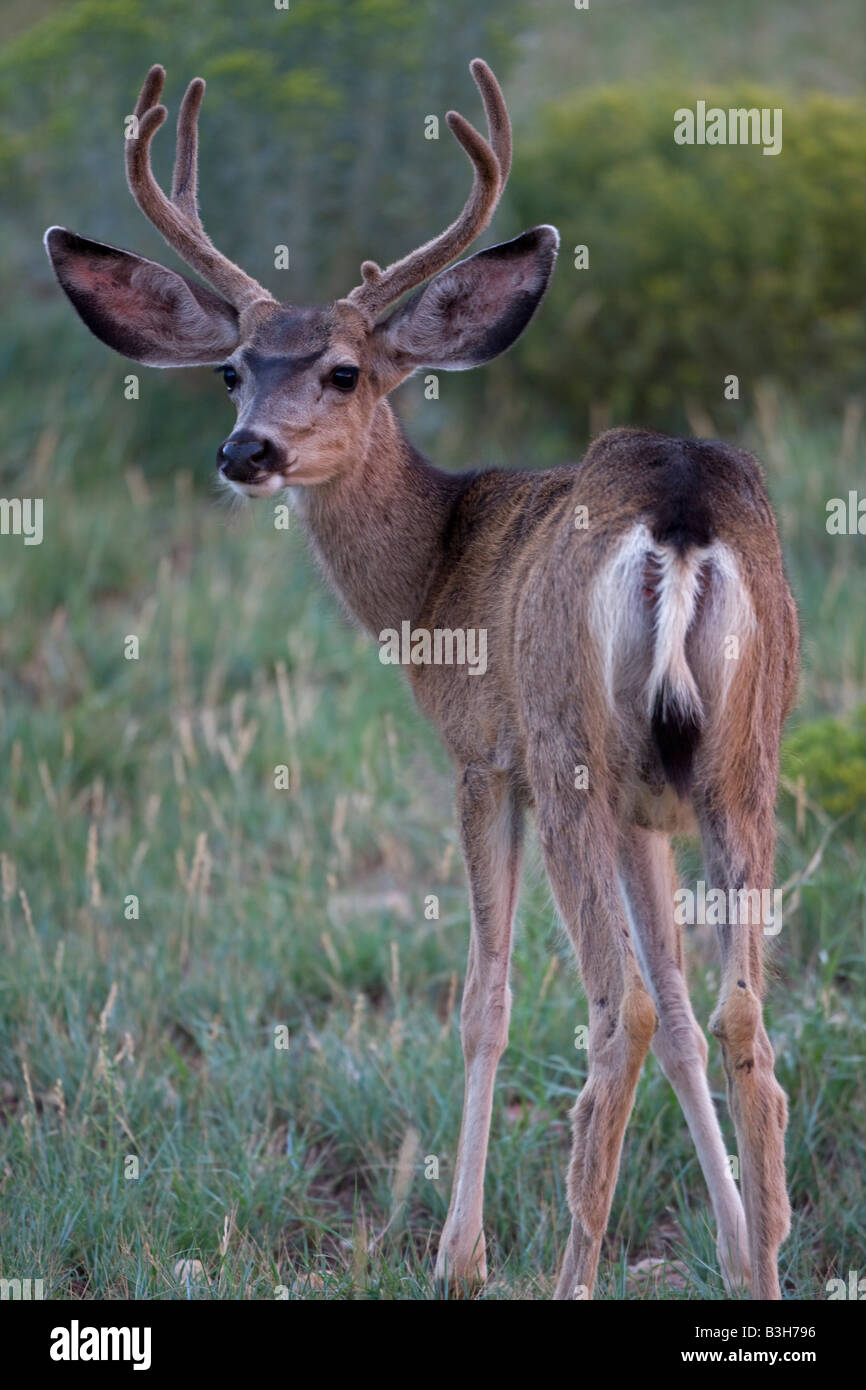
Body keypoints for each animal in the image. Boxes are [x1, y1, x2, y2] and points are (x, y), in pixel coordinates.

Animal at [44, 59, 798, 1300]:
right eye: (232, 370)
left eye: (344, 371)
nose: (245, 451)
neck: (435, 569)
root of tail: (679, 517)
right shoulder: (648, 808)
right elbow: (692, 1018)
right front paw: (734, 1249)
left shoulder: (480, 755)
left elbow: (484, 1000)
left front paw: (460, 1254)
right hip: (743, 761)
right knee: (737, 1018)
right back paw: (769, 1262)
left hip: (568, 749)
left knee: (618, 1010)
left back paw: (567, 1271)